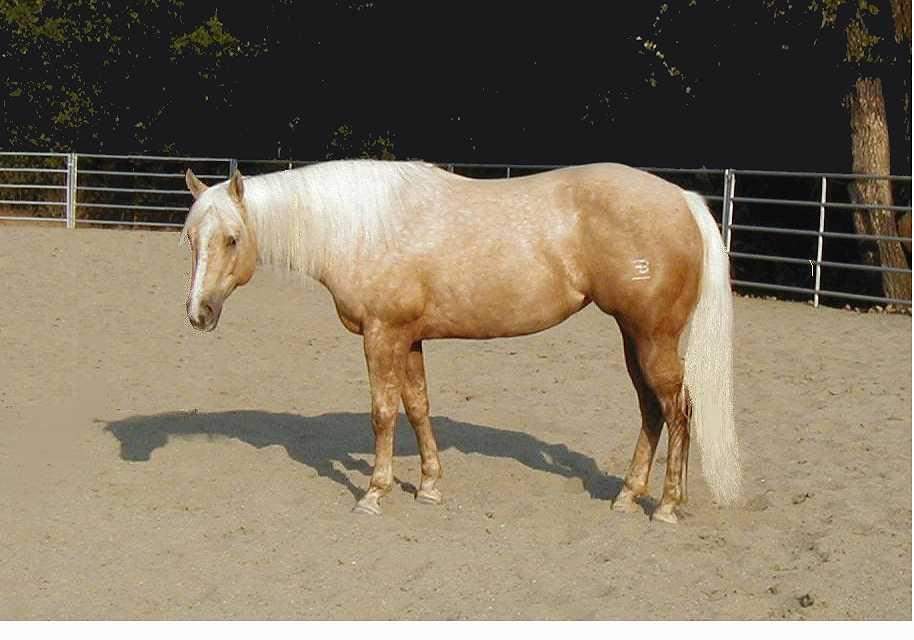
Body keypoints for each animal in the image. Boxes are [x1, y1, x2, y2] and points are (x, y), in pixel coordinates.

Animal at [180, 160, 740, 523]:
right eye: (191, 238)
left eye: (231, 238)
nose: (198, 313)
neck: (363, 227)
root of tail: (682, 200)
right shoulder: (407, 339)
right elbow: (417, 407)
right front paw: (429, 486)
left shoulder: (382, 336)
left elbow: (382, 413)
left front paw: (374, 493)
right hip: (633, 337)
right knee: (650, 411)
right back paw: (627, 497)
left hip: (653, 338)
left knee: (678, 410)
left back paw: (666, 506)